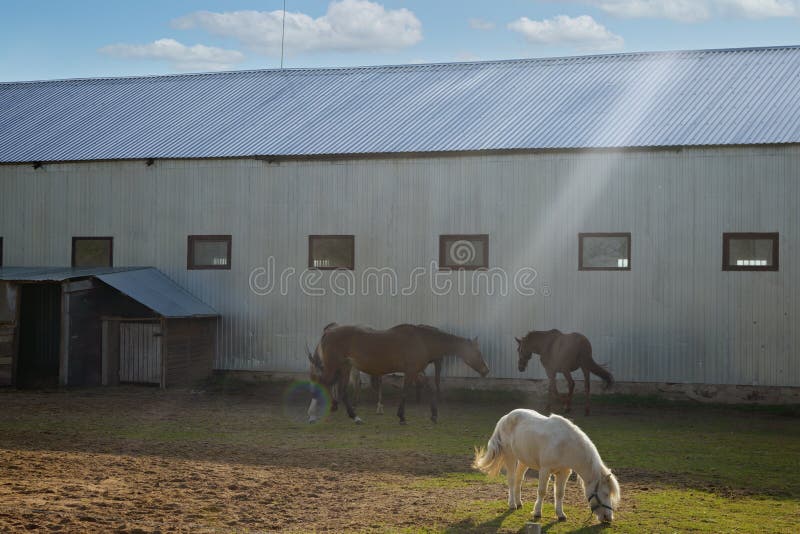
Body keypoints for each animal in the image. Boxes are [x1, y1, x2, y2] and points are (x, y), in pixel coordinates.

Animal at [310, 324, 489, 424]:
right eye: (477, 353)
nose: (486, 370)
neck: (422, 340)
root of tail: (328, 332)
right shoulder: (411, 371)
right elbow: (404, 392)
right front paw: (402, 417)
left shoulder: (416, 371)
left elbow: (429, 388)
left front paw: (434, 415)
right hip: (333, 367)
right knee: (321, 383)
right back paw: (312, 416)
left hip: (345, 368)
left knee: (342, 391)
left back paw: (355, 418)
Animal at [473, 408, 620, 523]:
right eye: (606, 494)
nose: (608, 518)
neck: (565, 445)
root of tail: (505, 417)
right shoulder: (545, 470)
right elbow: (542, 491)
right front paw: (537, 513)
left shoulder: (564, 473)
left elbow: (560, 493)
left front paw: (561, 515)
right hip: (510, 456)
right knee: (511, 480)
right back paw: (512, 504)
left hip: (523, 460)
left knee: (518, 480)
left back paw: (519, 503)